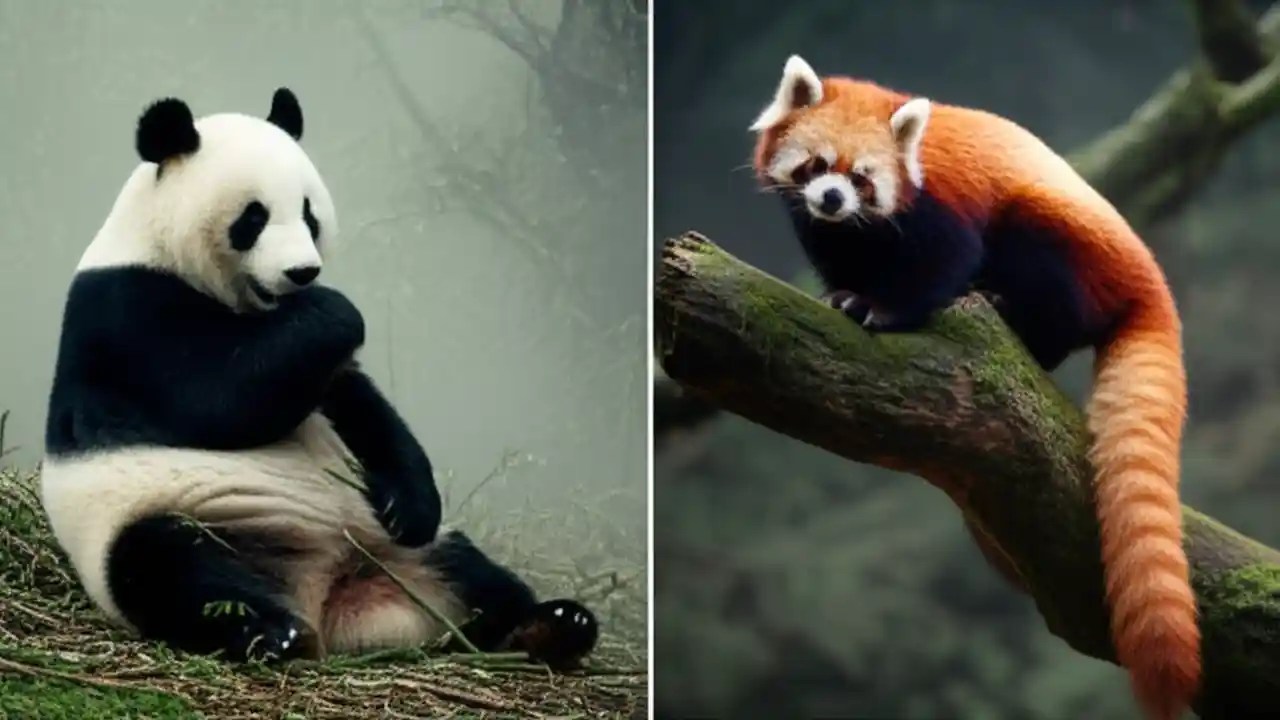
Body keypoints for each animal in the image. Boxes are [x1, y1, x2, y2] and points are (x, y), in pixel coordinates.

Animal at [39, 88, 599, 668]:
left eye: (310, 215)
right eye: (253, 218)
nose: (302, 273)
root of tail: (328, 595)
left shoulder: (316, 374)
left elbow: (359, 405)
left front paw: (411, 507)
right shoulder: (128, 317)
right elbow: (219, 399)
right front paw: (333, 309)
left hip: (406, 550)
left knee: (472, 574)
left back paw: (550, 625)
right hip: (160, 520)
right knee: (170, 568)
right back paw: (268, 632)